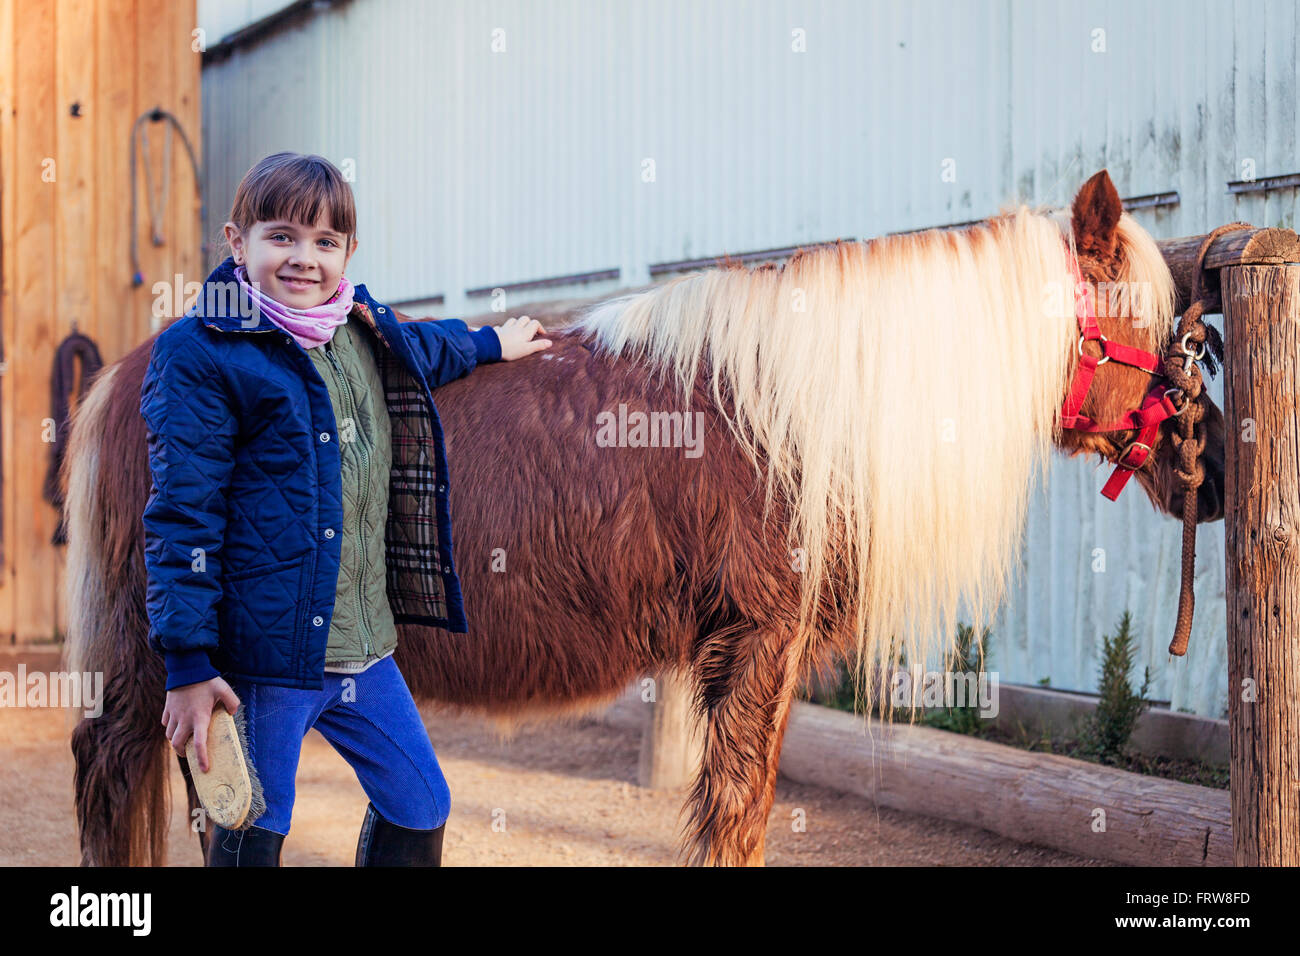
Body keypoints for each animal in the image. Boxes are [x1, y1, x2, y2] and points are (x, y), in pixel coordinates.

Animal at [63, 169, 1225, 867]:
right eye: (1162, 324)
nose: (1205, 471)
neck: (807, 406)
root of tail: (132, 371)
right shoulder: (759, 643)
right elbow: (738, 814)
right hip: (155, 663)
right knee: (109, 769)